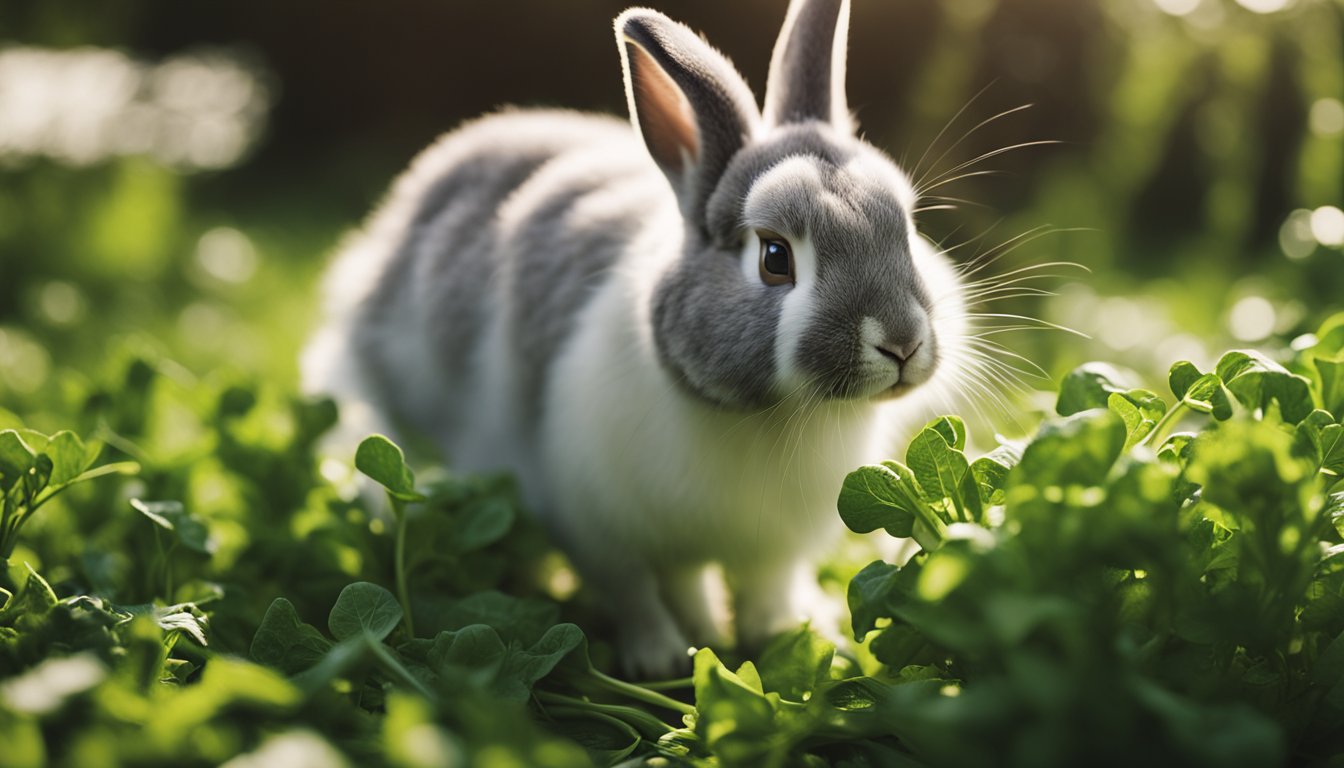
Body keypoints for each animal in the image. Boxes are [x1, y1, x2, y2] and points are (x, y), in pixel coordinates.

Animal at [302, 0, 970, 678]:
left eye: (906, 228)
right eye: (775, 257)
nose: (902, 343)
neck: (768, 414)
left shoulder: (773, 546)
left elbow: (765, 589)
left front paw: (787, 638)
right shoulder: (599, 520)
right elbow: (642, 592)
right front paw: (667, 657)